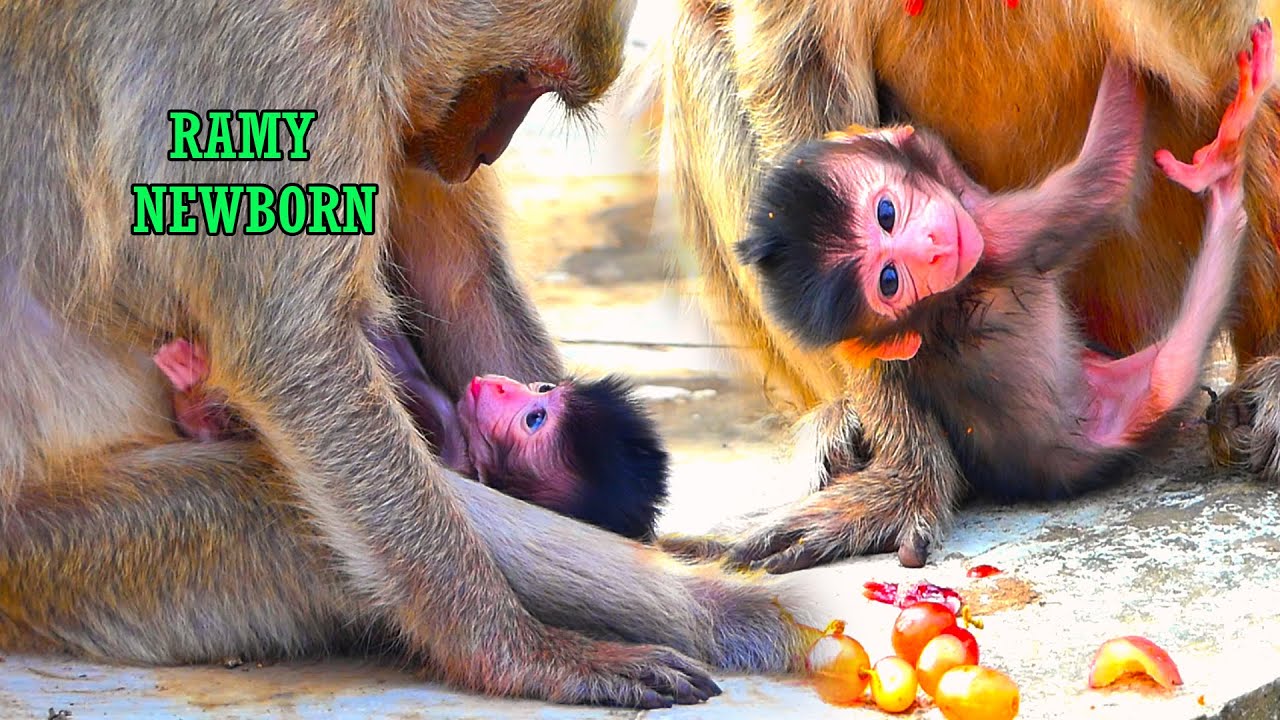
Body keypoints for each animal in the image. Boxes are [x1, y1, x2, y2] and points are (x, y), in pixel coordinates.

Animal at [654, 0, 1280, 572]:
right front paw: (906, 477)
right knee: (696, 30)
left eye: (889, 213)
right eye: (887, 266)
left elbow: (1207, 55)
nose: (930, 245)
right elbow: (799, 67)